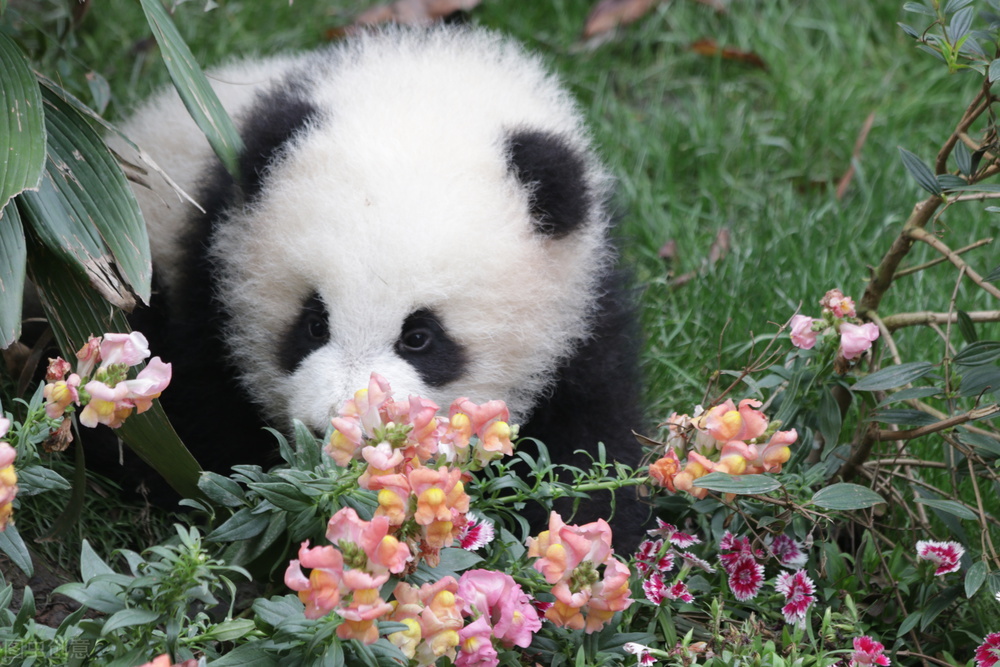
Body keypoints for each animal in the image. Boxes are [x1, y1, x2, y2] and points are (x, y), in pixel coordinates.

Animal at [107, 25, 646, 548]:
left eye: (420, 338)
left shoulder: (580, 310)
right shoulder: (206, 273)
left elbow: (584, 441)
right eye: (314, 324)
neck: (421, 83)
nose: (334, 438)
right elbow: (205, 430)